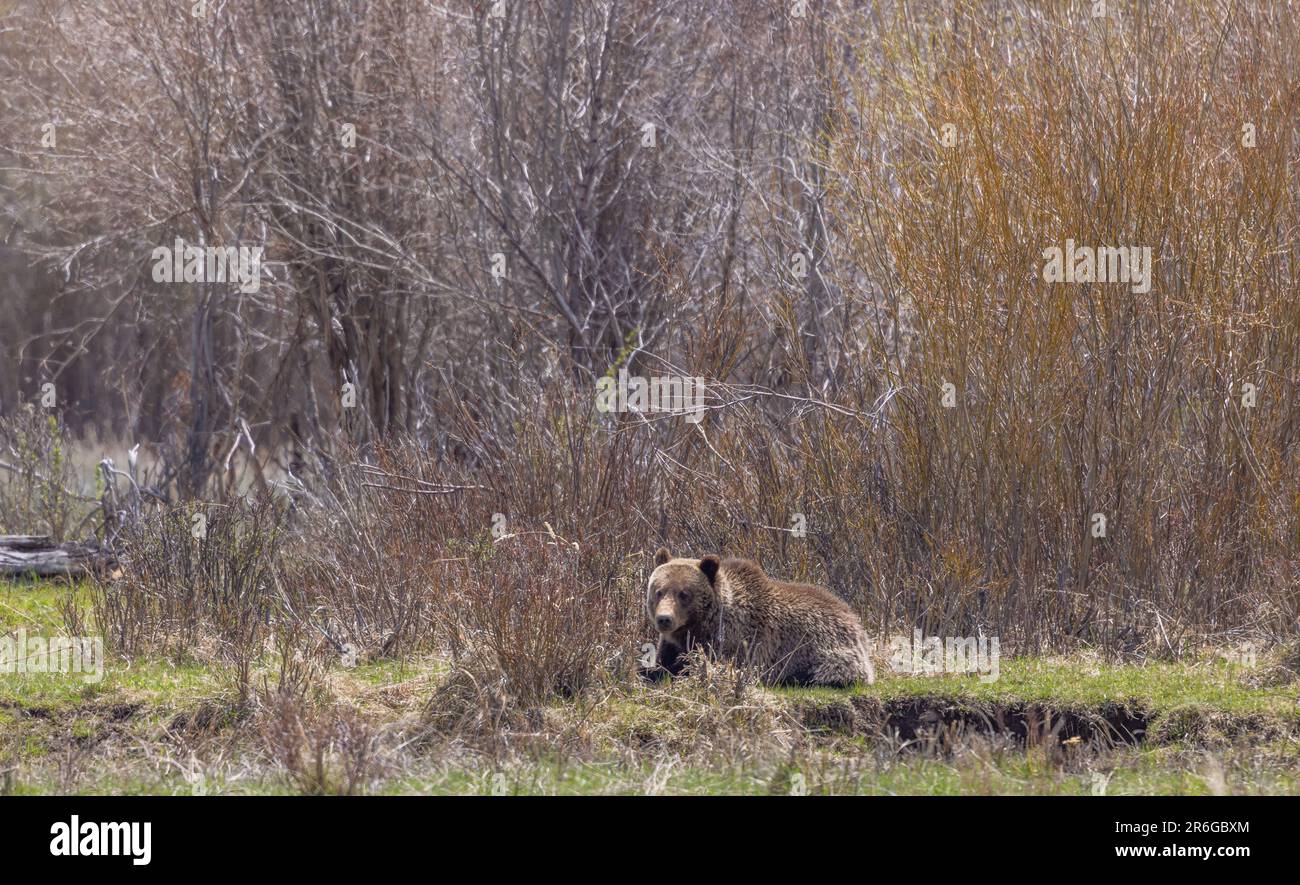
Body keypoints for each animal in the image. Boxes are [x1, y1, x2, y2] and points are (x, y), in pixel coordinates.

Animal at [645, 547, 875, 687]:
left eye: (684, 594)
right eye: (659, 591)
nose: (665, 619)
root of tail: (853, 616)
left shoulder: (736, 641)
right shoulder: (673, 643)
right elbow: (664, 661)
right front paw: (653, 670)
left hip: (827, 649)